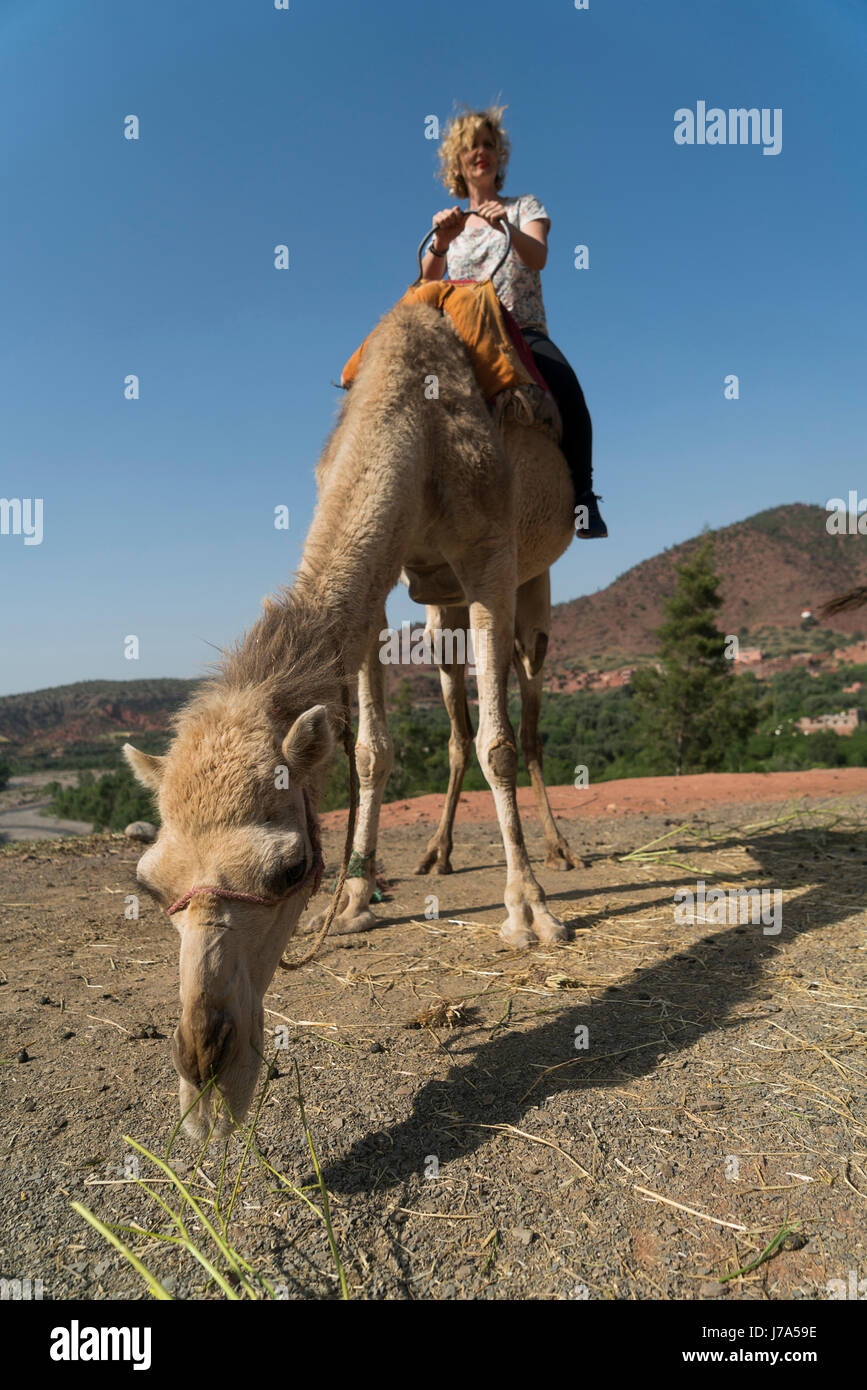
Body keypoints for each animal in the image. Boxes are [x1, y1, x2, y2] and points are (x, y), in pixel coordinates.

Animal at [124, 296, 581, 1139]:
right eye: (147, 881)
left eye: (287, 869)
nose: (206, 1078)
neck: (416, 423)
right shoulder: (384, 590)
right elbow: (371, 748)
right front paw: (357, 898)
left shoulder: (491, 557)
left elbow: (499, 742)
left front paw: (530, 914)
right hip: (438, 611)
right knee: (456, 718)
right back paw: (436, 856)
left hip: (534, 584)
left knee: (525, 713)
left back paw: (559, 854)